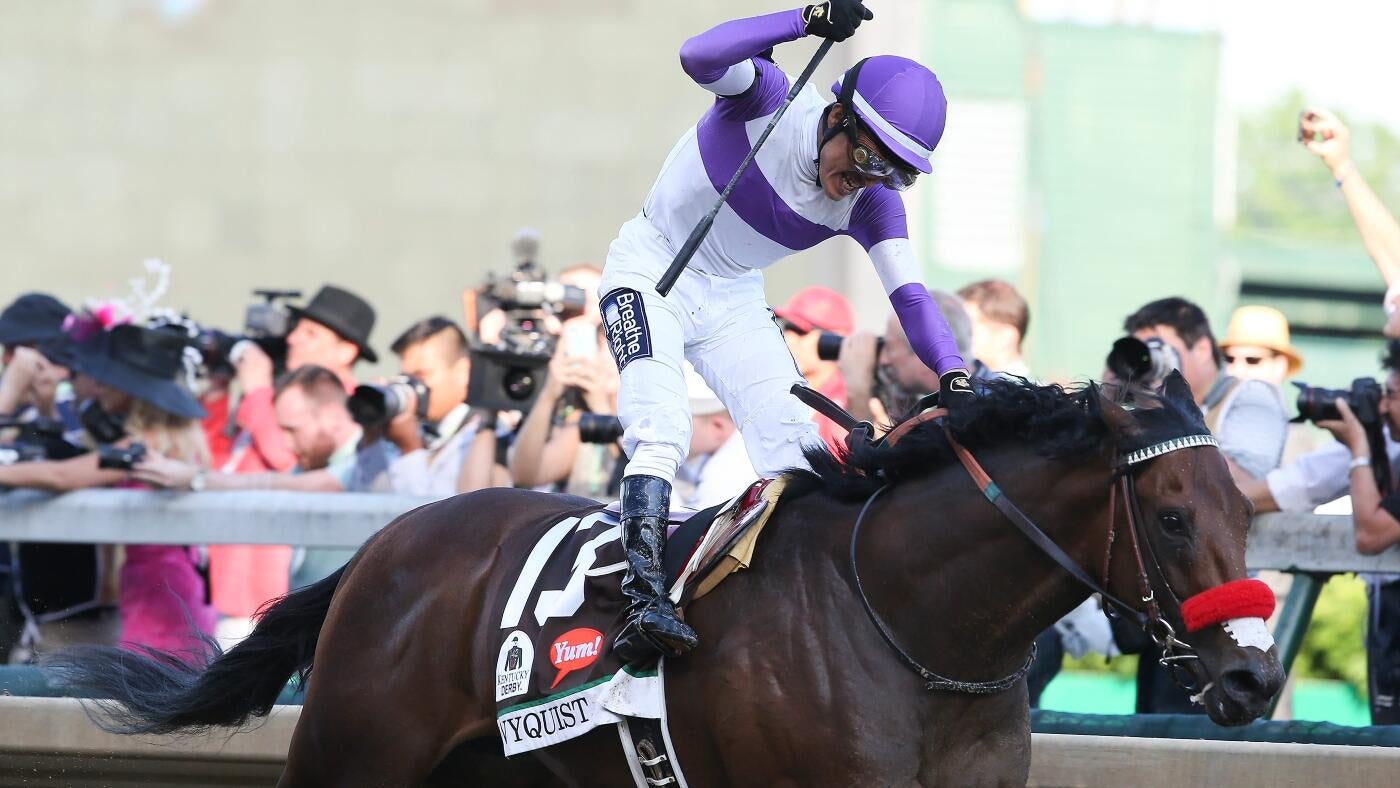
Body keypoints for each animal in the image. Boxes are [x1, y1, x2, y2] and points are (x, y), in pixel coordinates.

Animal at [49, 374, 1283, 787]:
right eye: (1173, 516)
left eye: (1249, 510)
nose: (1255, 679)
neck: (917, 628)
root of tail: (382, 552)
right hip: (354, 755)